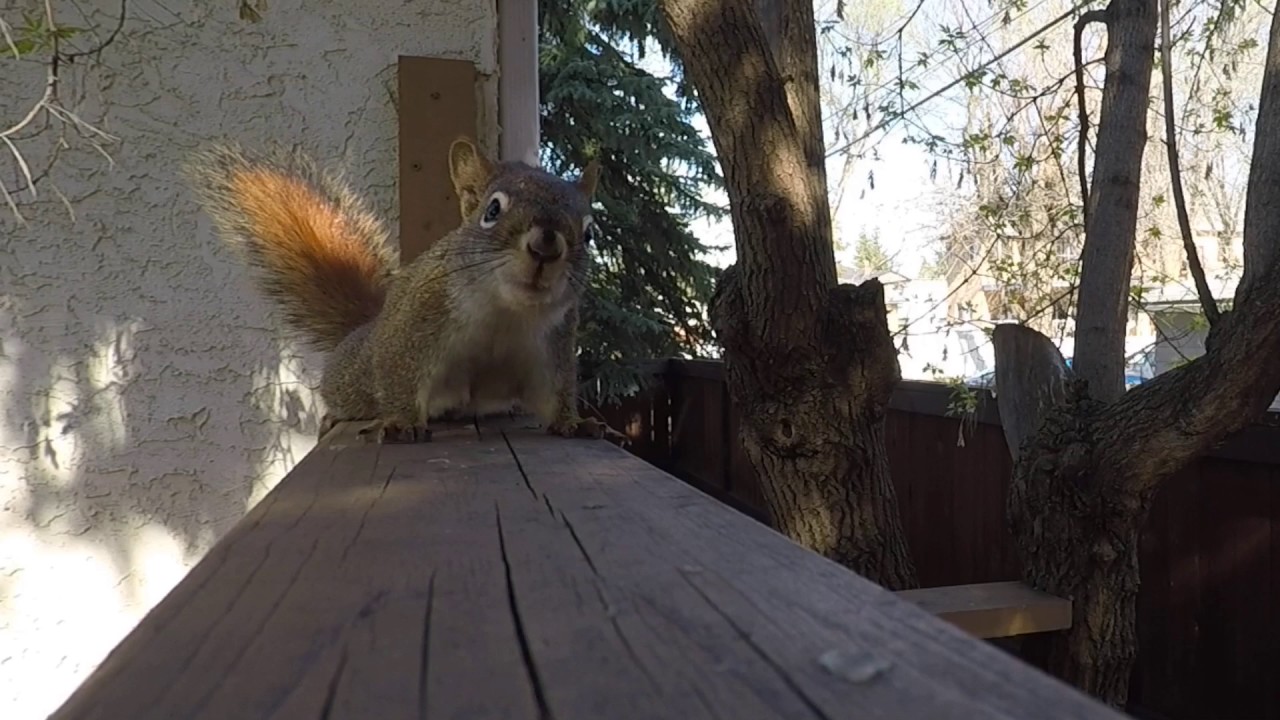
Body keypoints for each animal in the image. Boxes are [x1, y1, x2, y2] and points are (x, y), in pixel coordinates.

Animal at [183, 136, 624, 444]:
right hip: (355, 378)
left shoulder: (550, 350)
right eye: (492, 210)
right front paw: (399, 423)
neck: (506, 310)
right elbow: (399, 379)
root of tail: (366, 327)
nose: (546, 247)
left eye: (589, 232)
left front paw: (576, 423)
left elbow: (555, 394)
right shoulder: (414, 328)